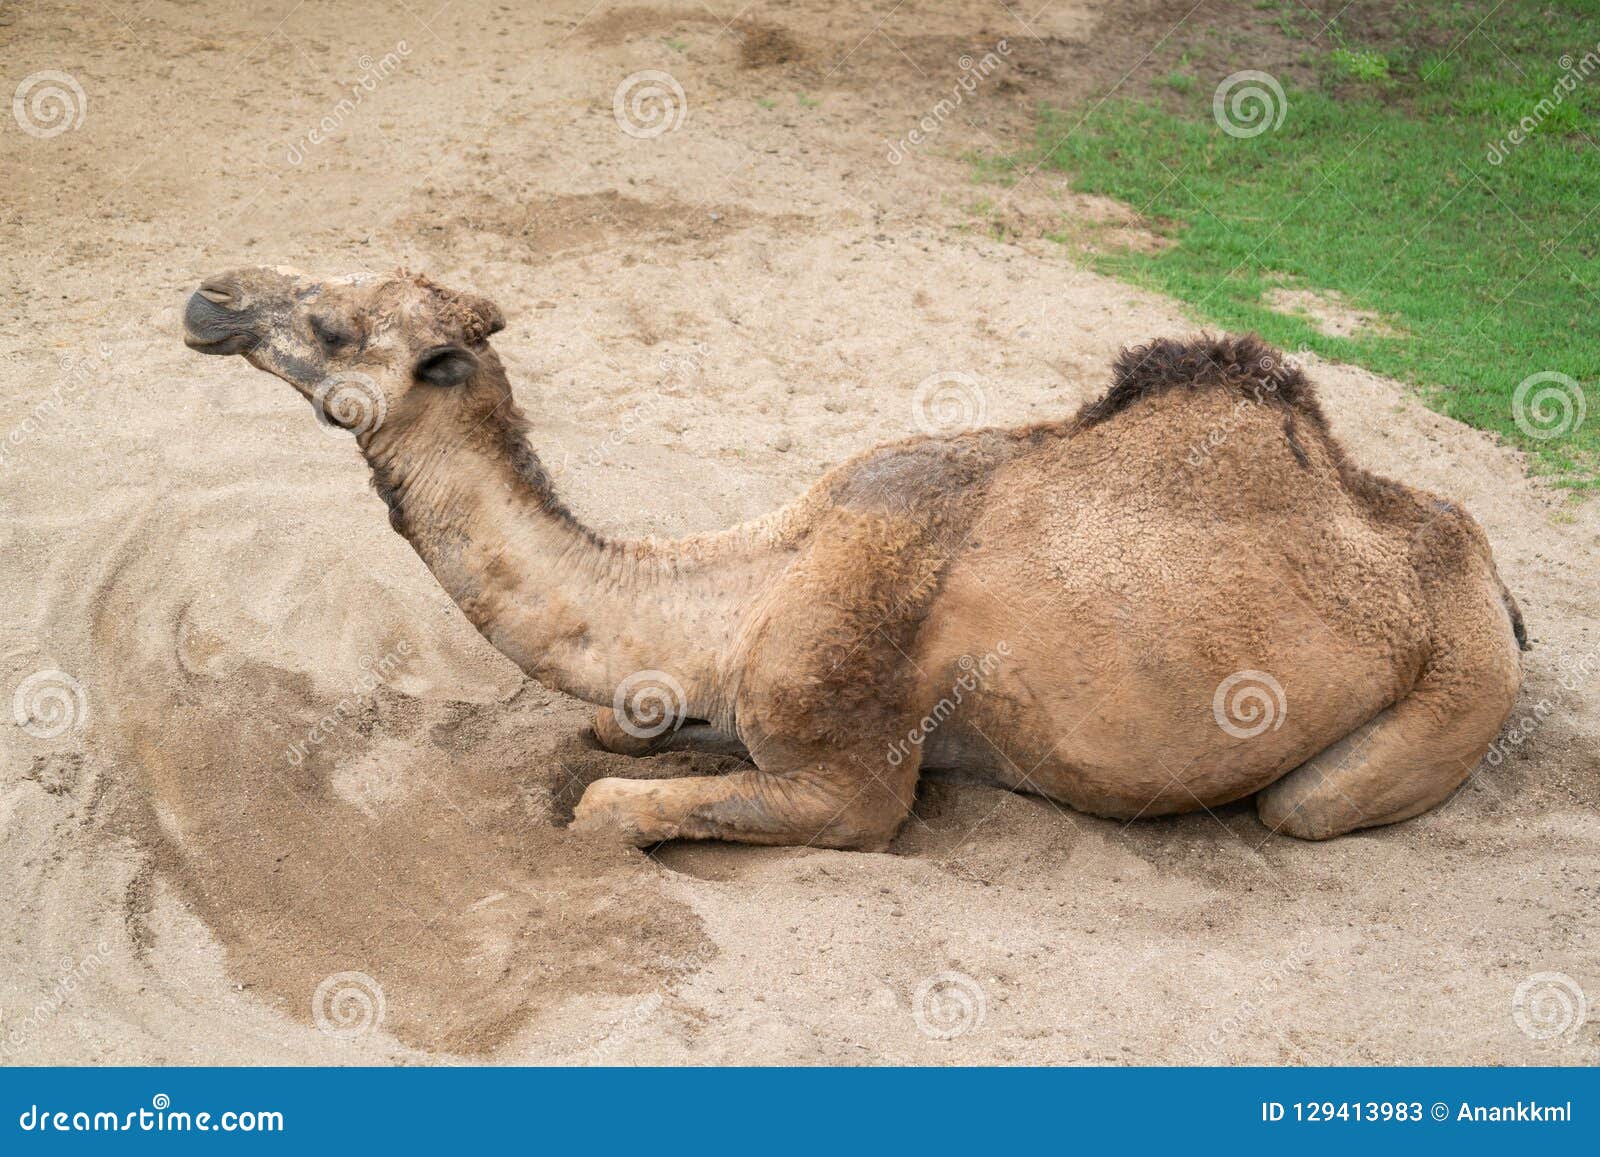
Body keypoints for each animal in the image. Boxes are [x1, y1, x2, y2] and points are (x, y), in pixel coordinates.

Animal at [182, 267, 1527, 851]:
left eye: (331, 323)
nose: (209, 296)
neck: (745, 585)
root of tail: (1489, 583)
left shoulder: (850, 776)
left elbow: (608, 807)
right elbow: (621, 729)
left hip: (1450, 694)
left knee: (1302, 802)